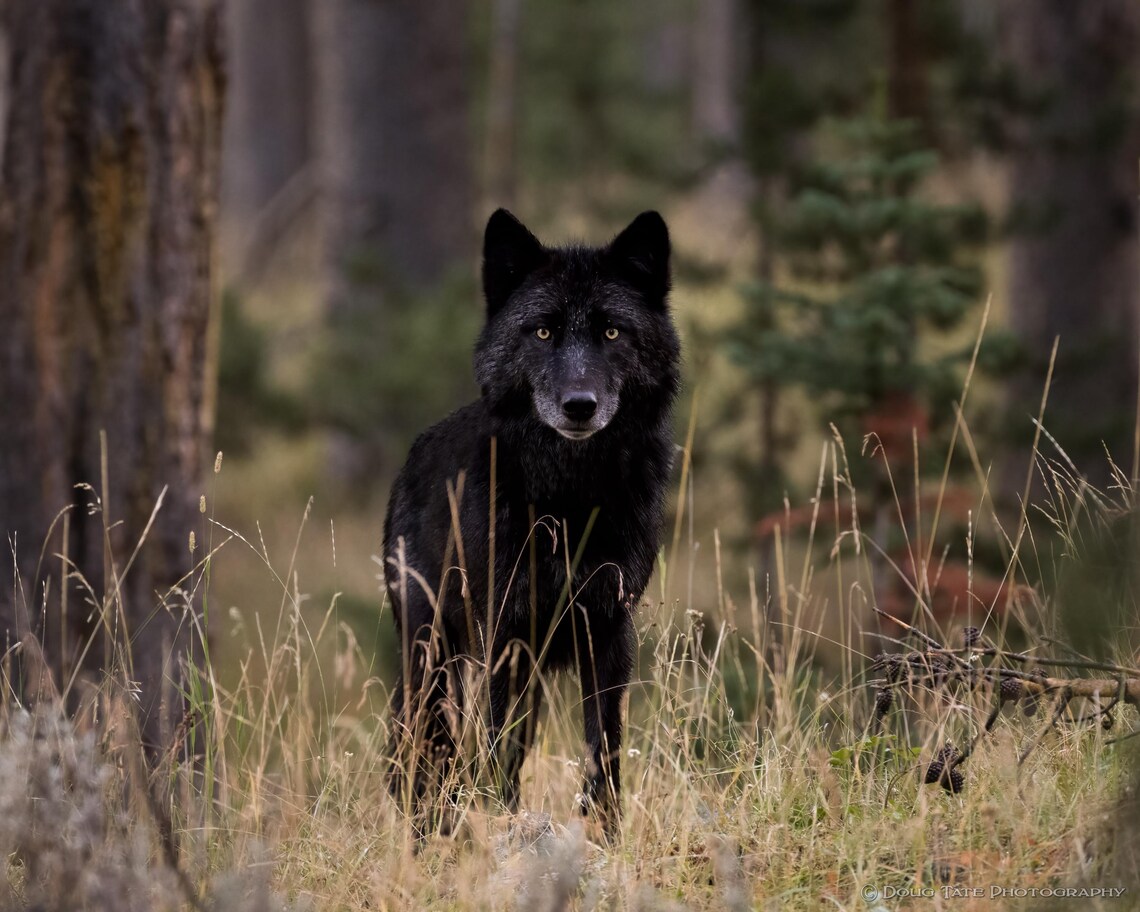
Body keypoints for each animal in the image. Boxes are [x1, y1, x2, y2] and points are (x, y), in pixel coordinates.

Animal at [383, 209, 680, 837]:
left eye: (612, 333)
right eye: (543, 333)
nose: (579, 405)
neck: (570, 498)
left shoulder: (609, 629)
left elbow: (603, 743)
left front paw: (607, 831)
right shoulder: (505, 629)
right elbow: (497, 742)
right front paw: (499, 820)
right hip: (431, 655)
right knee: (426, 746)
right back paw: (427, 825)